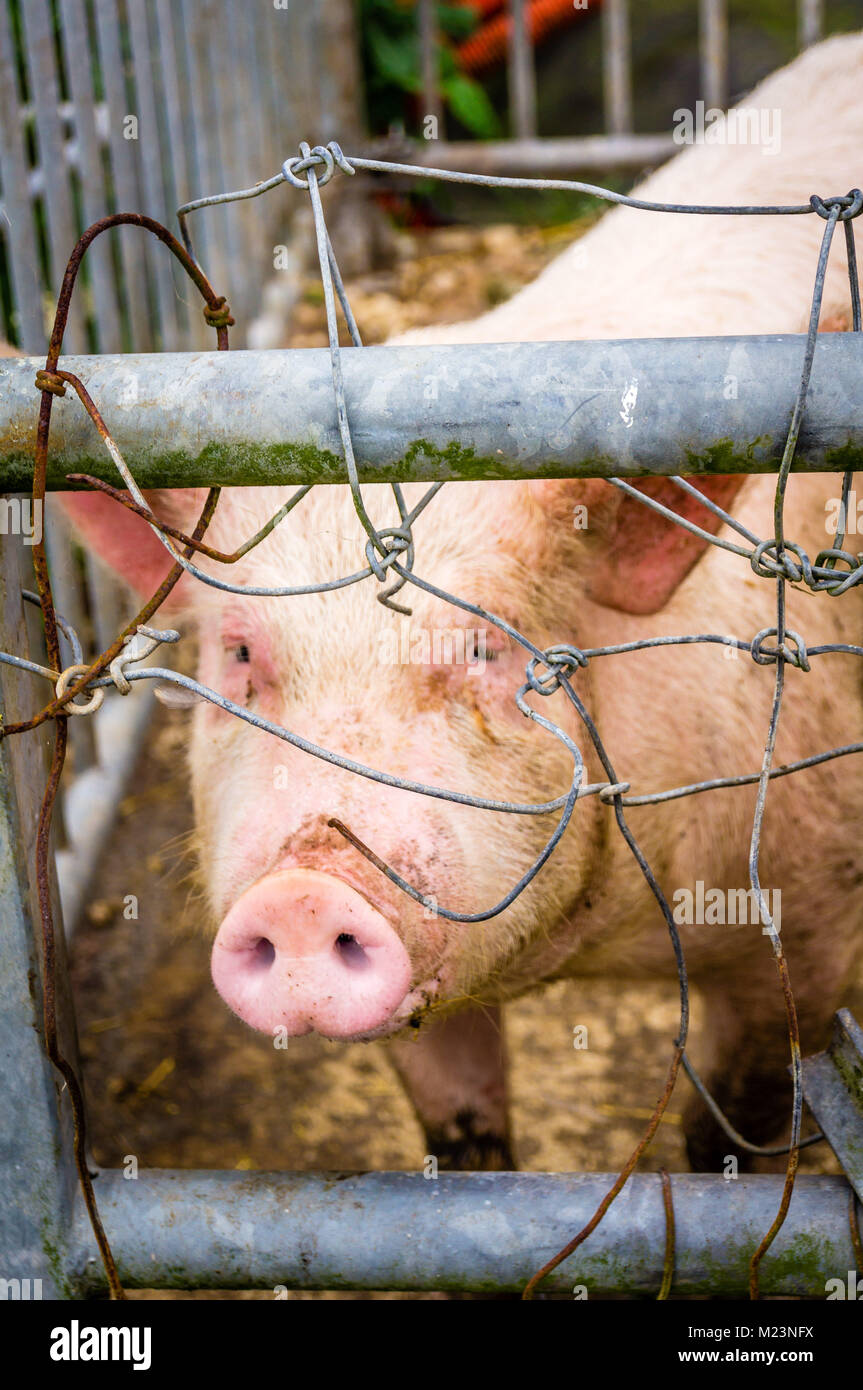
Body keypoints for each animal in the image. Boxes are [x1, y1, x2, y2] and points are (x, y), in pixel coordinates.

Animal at [61, 32, 863, 1173]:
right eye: (242, 657)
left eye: (484, 649)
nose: (303, 890)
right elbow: (463, 1133)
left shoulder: (808, 912)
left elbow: (745, 1121)